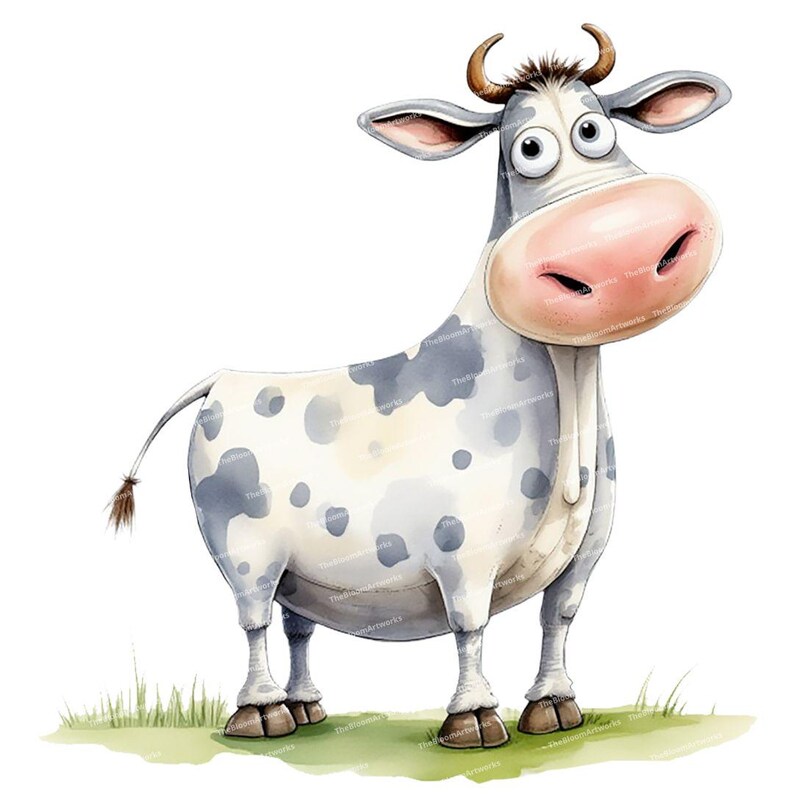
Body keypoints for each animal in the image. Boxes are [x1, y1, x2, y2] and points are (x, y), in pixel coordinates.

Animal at [109, 24, 730, 748]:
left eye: (596, 128)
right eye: (528, 149)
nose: (618, 246)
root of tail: (223, 379)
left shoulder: (590, 548)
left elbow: (559, 617)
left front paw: (554, 707)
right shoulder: (463, 546)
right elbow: (470, 625)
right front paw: (474, 719)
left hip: (298, 569)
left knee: (296, 626)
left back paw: (307, 707)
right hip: (241, 548)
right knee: (254, 620)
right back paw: (261, 714)